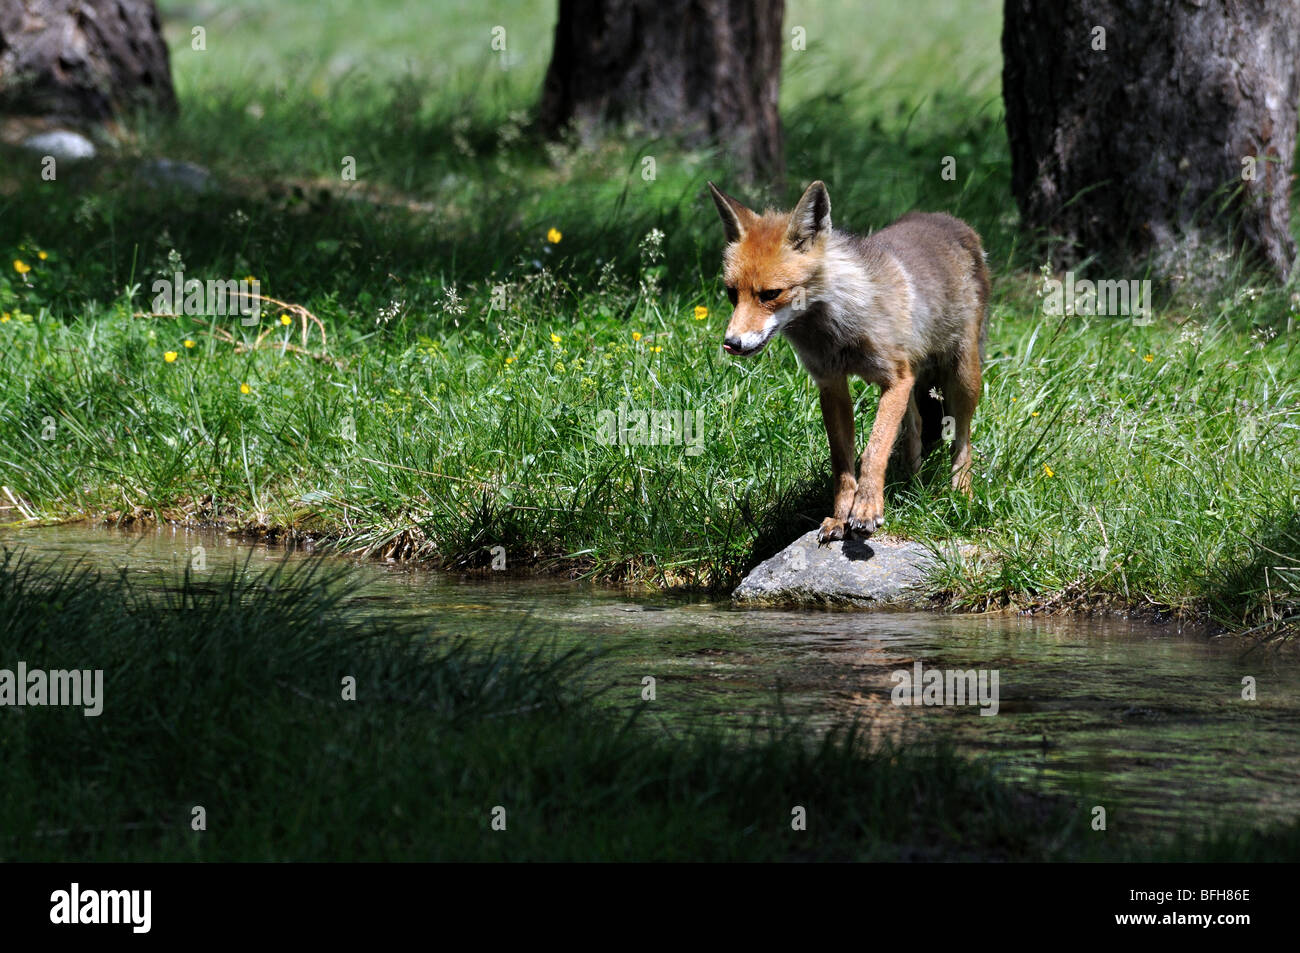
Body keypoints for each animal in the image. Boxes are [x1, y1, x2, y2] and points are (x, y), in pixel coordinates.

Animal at [708, 179, 989, 544]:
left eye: (770, 294)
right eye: (732, 293)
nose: (732, 343)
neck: (837, 332)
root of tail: (951, 220)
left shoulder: (895, 379)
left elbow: (873, 452)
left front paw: (867, 509)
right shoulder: (832, 386)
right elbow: (842, 465)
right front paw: (841, 518)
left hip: (962, 375)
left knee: (963, 440)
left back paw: (961, 496)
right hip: (916, 383)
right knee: (914, 429)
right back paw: (911, 486)